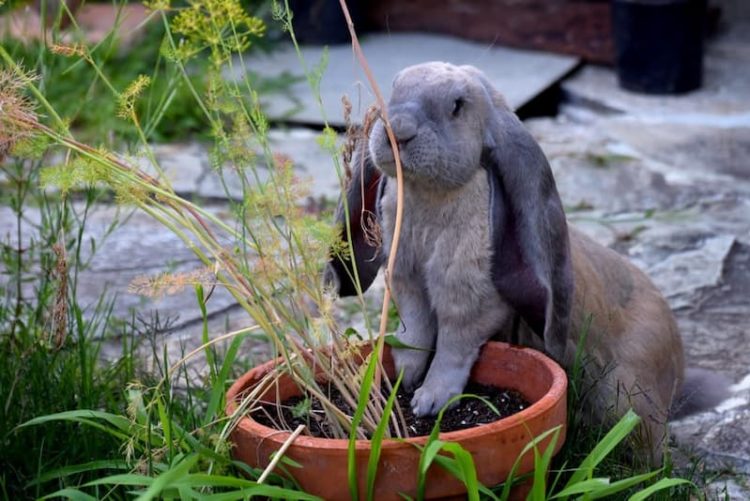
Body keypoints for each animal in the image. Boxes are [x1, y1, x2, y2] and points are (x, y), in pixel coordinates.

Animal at [325, 62, 727, 463]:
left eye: (457, 106)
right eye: (394, 88)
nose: (398, 130)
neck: (429, 197)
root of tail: (677, 368)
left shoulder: (469, 298)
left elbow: (453, 345)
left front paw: (428, 401)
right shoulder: (409, 286)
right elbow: (415, 332)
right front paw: (402, 377)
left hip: (630, 397)